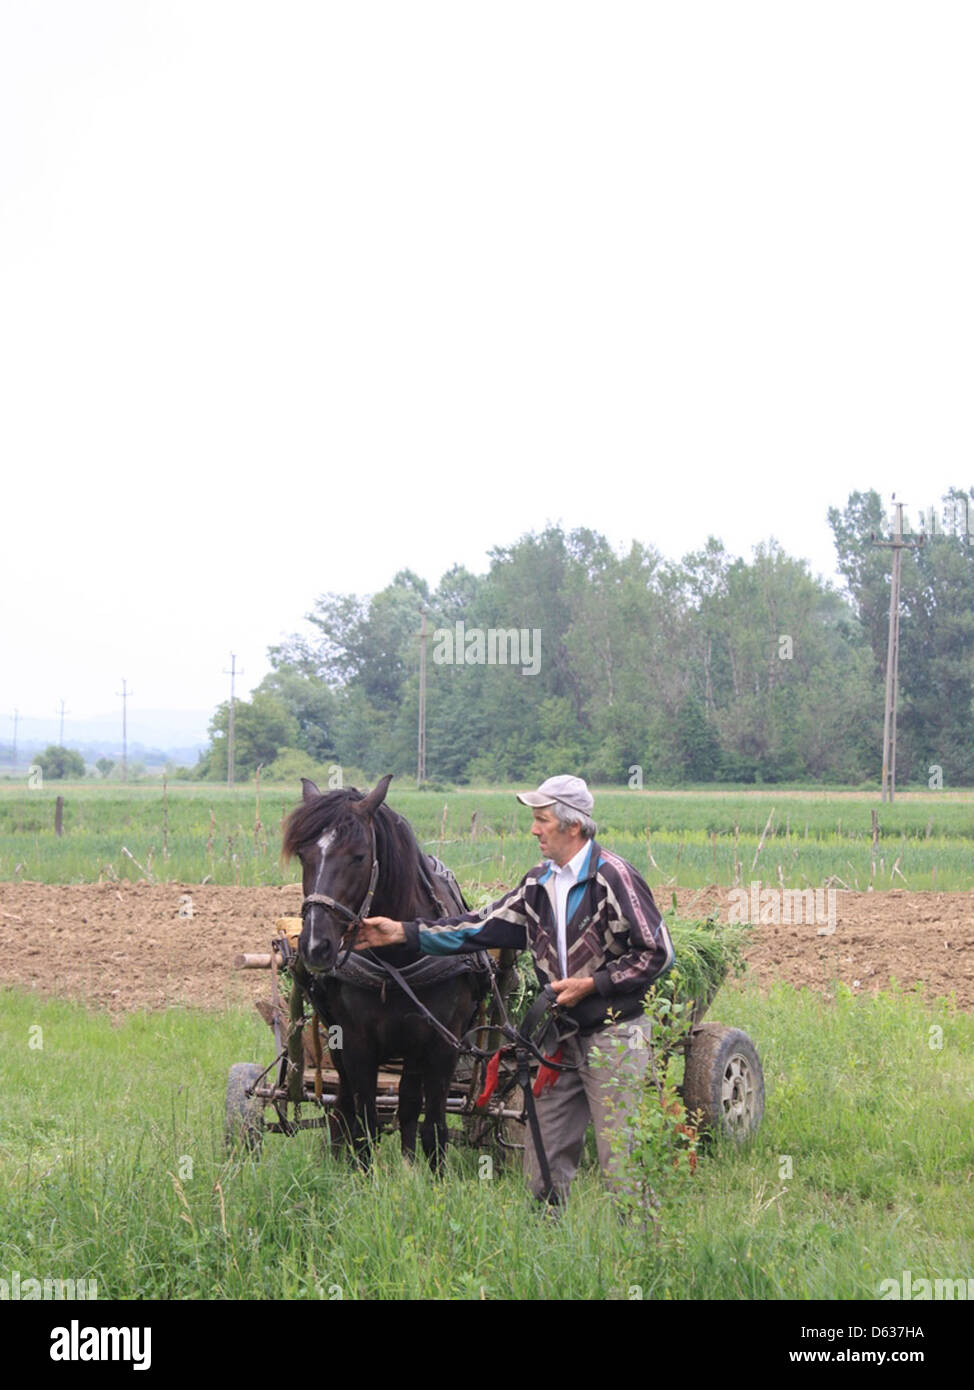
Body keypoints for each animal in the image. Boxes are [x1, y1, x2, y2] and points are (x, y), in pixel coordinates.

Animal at [281, 774, 488, 1170]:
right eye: (303, 855)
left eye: (359, 856)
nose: (315, 946)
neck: (397, 963)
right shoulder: (355, 1042)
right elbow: (365, 1121)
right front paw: (362, 1173)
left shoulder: (440, 1044)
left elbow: (430, 1121)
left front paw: (429, 1174)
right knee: (344, 1105)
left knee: (406, 1105)